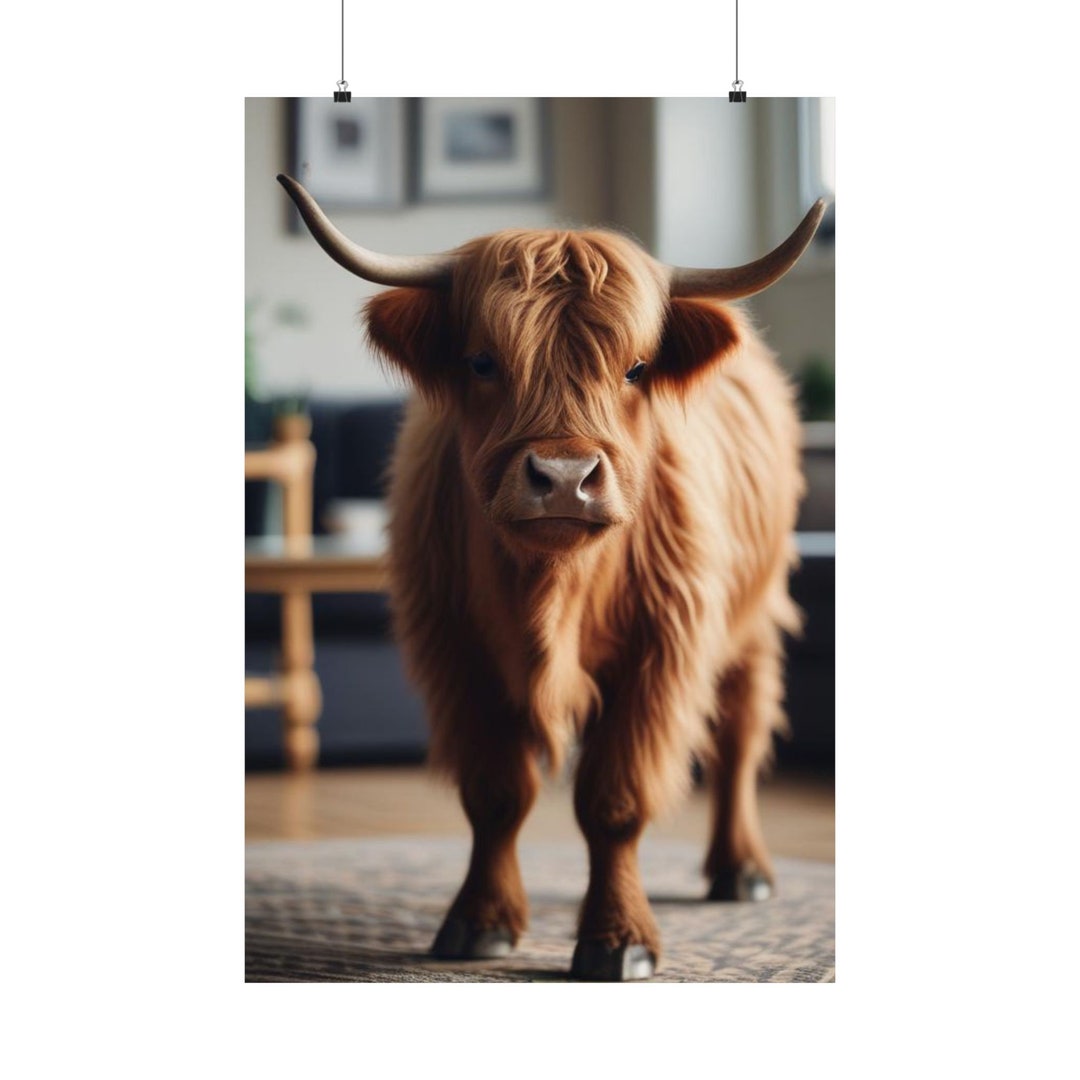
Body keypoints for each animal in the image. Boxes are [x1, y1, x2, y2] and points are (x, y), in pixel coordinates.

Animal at [278, 173, 826, 980]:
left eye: (635, 367)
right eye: (482, 361)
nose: (566, 479)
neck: (553, 590)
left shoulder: (661, 651)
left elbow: (614, 801)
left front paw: (618, 938)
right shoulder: (457, 652)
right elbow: (496, 793)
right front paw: (480, 921)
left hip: (755, 616)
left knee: (740, 735)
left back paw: (741, 870)